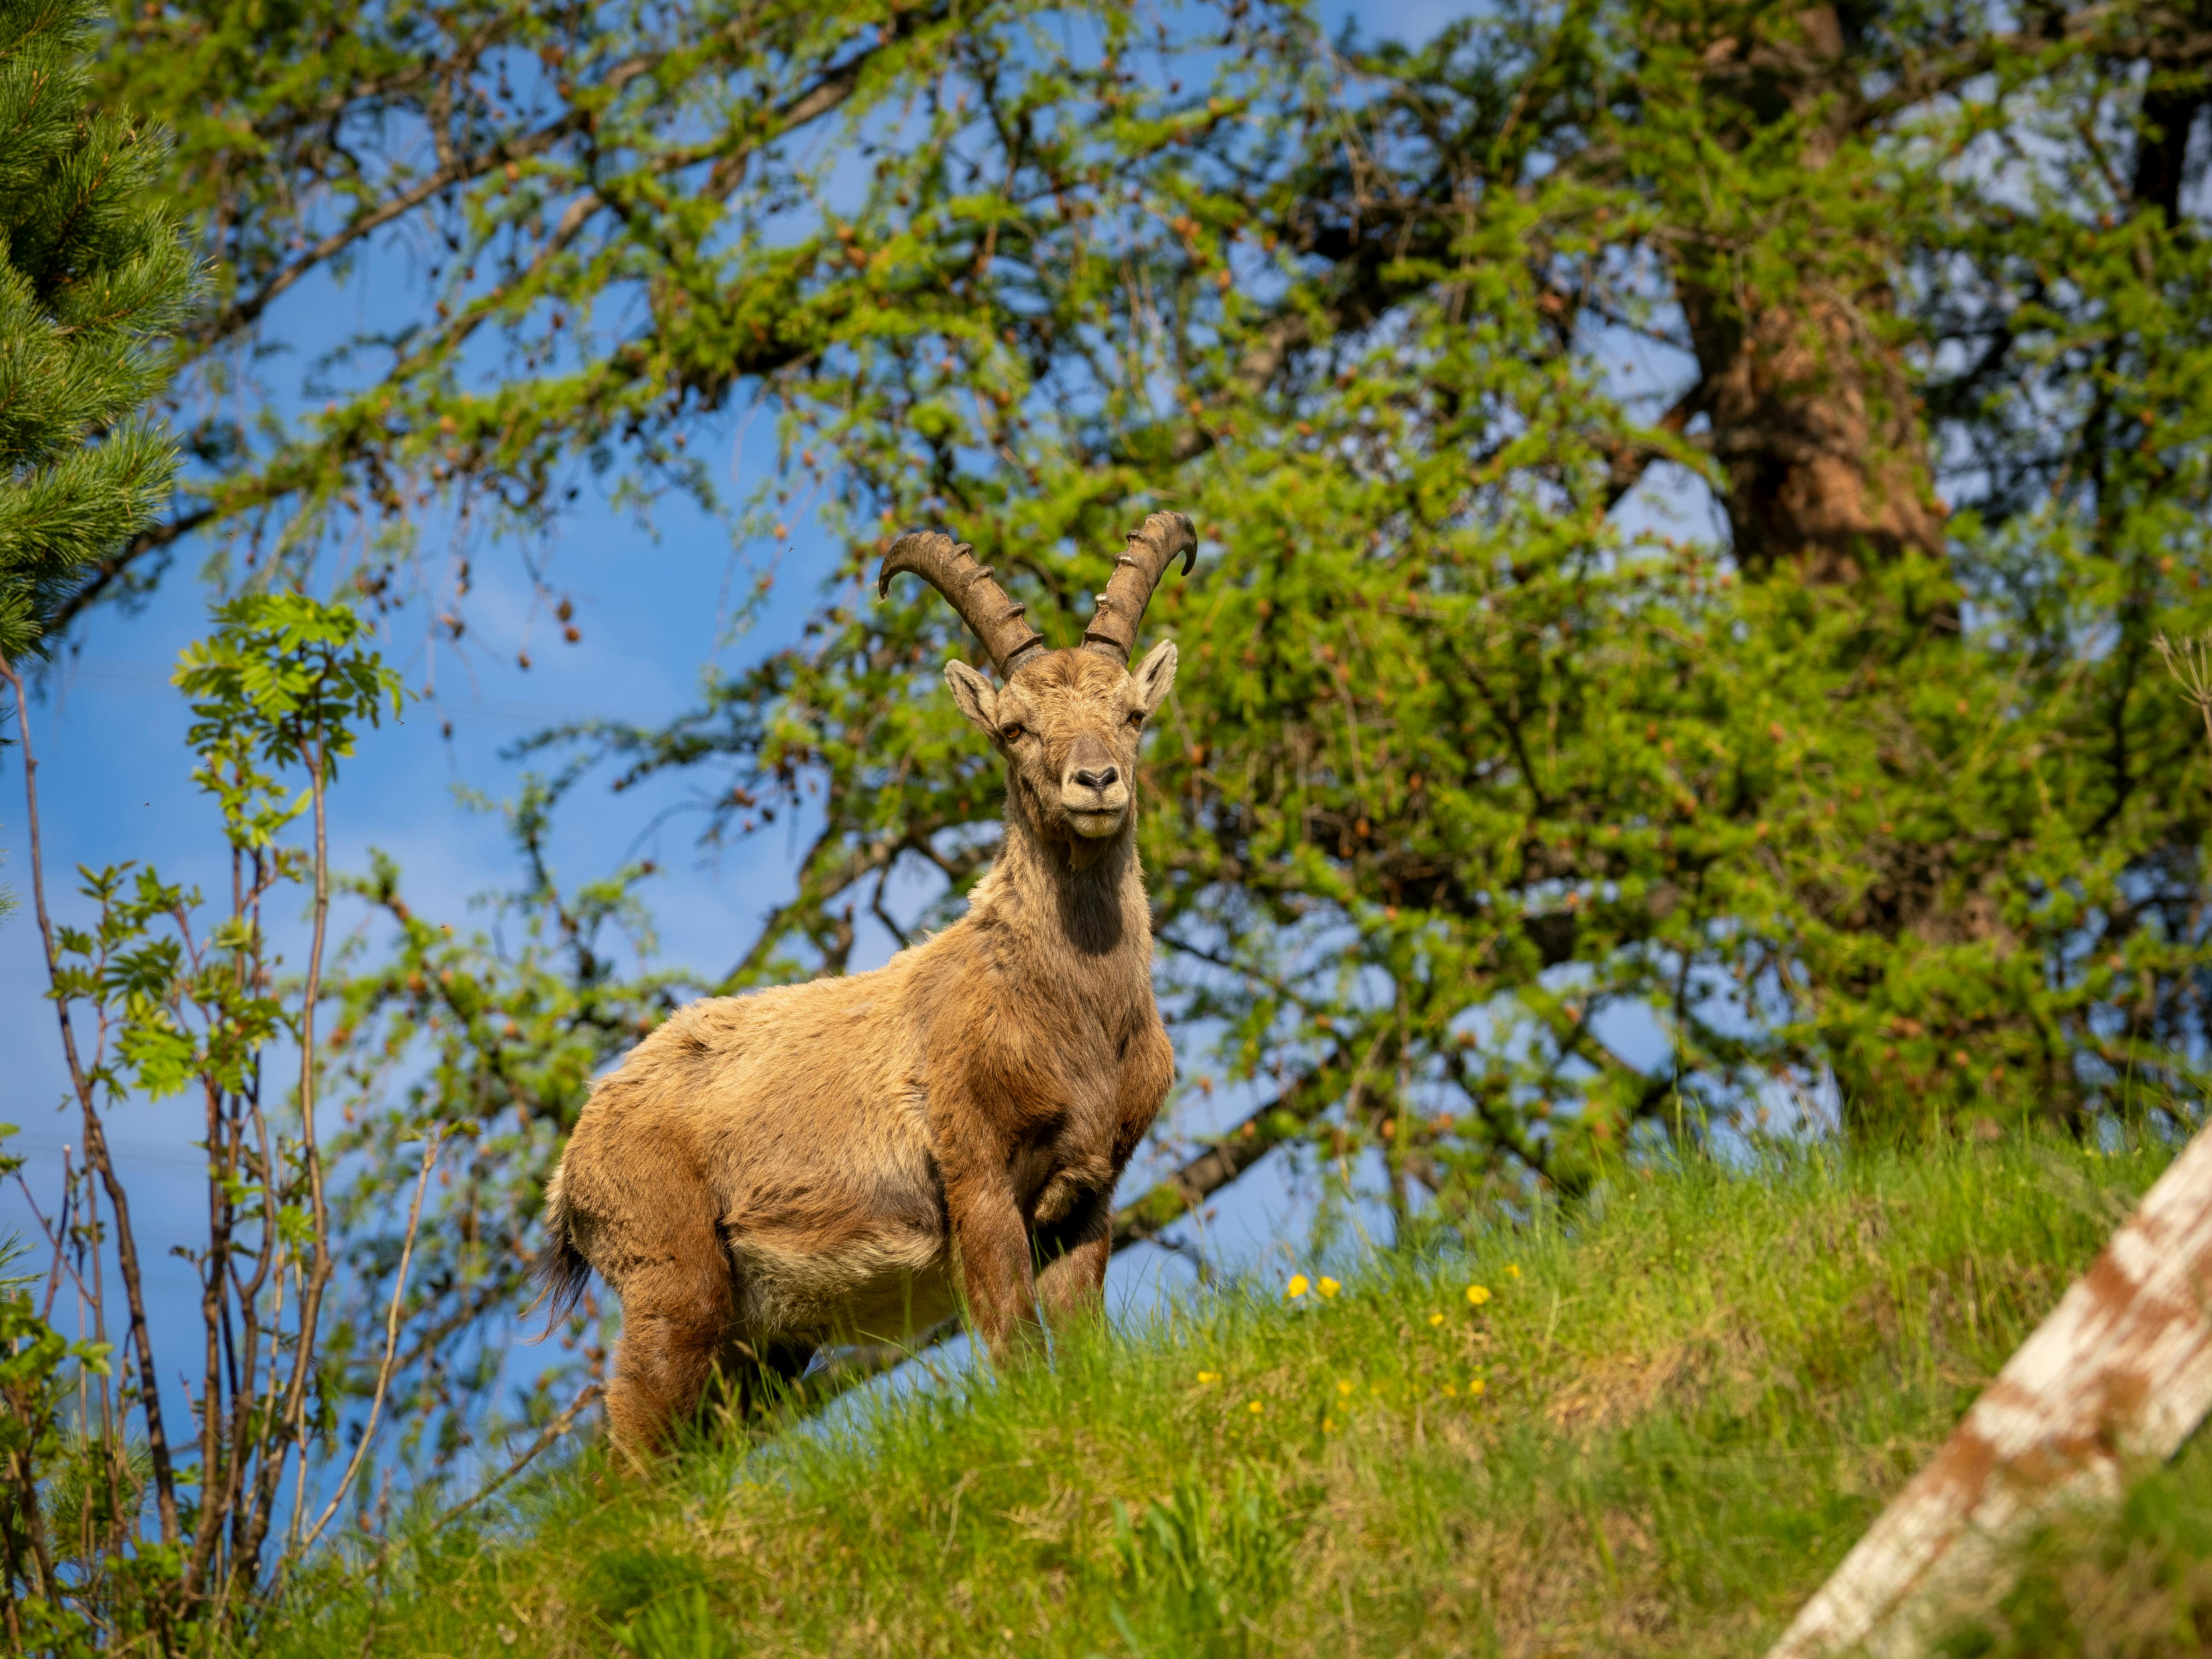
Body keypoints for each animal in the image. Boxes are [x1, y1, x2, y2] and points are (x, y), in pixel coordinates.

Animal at [533, 512, 1197, 1452]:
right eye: (1014, 728)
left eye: (1133, 714)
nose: (1095, 782)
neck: (1069, 1013)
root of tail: (574, 1163)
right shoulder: (978, 1180)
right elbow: (1016, 1347)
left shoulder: (1087, 1198)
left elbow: (1082, 1348)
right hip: (672, 1280)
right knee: (629, 1450)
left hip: (763, 1342)